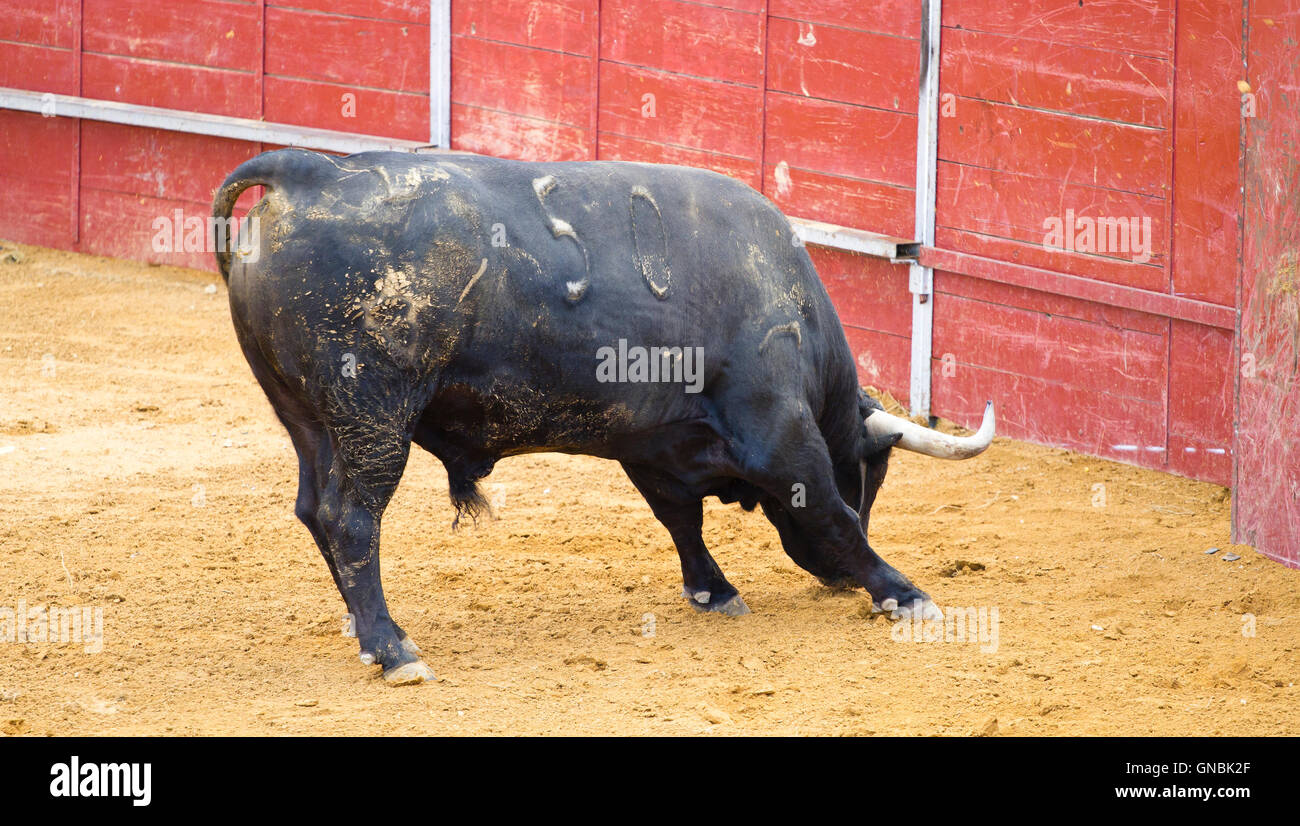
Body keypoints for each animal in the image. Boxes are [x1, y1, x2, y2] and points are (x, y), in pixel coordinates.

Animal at [212, 148, 995, 685]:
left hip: (308, 422)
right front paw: (901, 591)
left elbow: (681, 521)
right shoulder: (780, 432)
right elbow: (829, 511)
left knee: (314, 509)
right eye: (872, 473)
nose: (830, 581)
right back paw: (392, 646)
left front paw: (715, 591)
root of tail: (309, 173)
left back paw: (360, 627)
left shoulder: (655, 446)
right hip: (374, 418)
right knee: (352, 519)